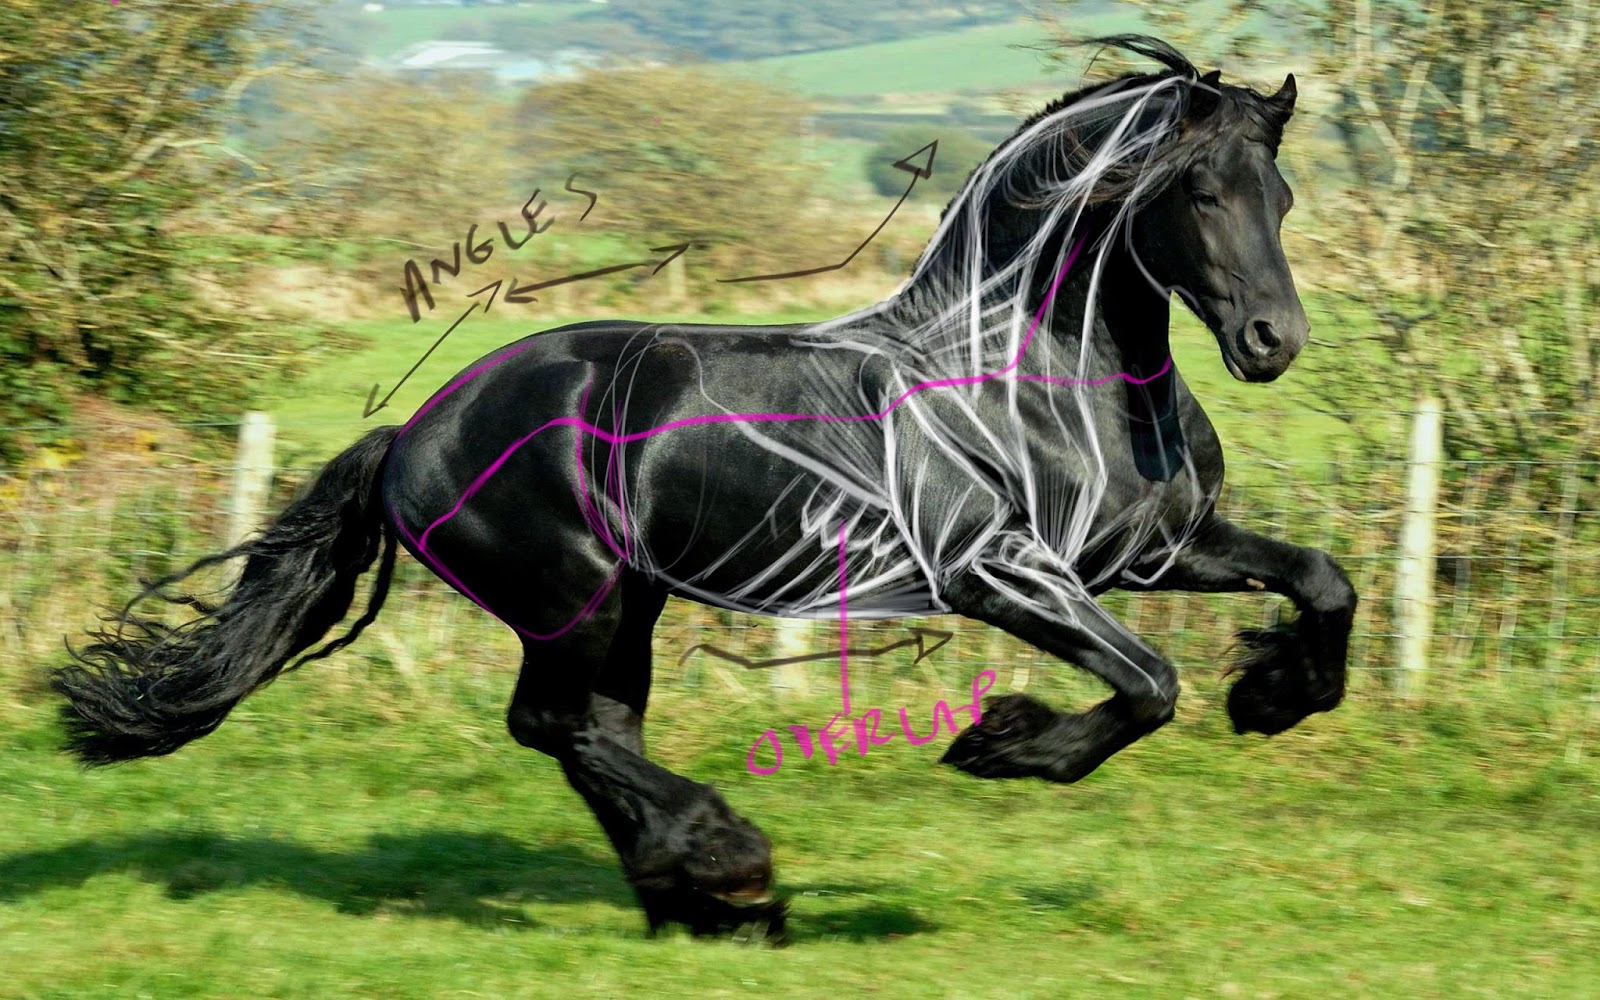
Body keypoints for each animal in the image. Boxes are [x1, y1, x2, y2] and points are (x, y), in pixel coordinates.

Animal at [52, 36, 1357, 942]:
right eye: (1197, 193)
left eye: (1283, 197)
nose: (1271, 341)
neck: (1041, 370)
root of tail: (416, 429)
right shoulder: (998, 571)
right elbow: (1146, 685)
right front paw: (1000, 745)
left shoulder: (1151, 549)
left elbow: (1321, 582)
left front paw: (1276, 696)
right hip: (571, 596)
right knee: (563, 725)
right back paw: (727, 862)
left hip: (625, 601)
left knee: (588, 731)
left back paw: (700, 898)